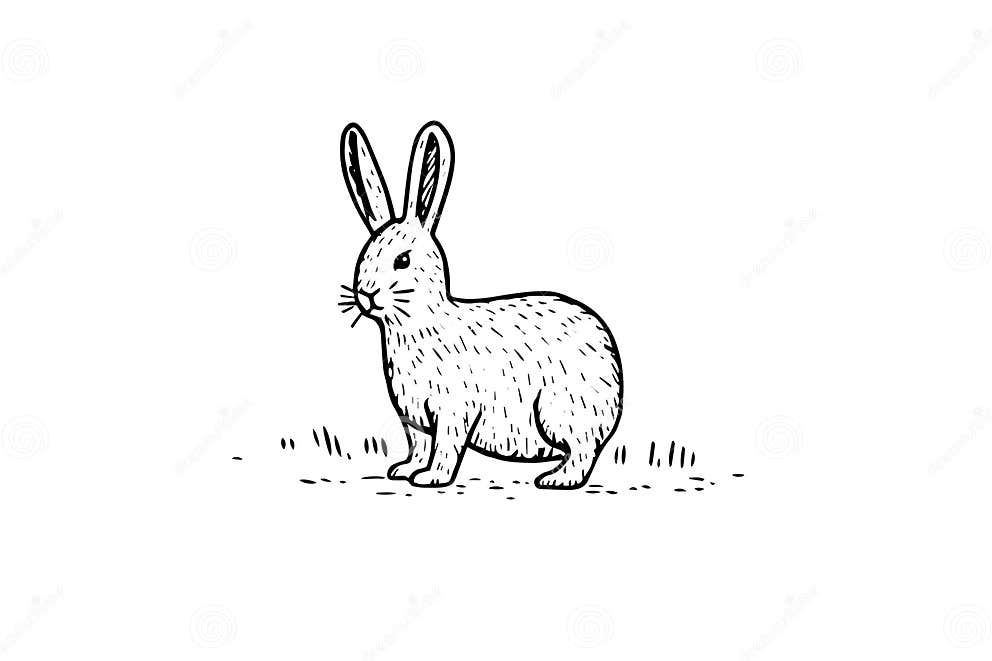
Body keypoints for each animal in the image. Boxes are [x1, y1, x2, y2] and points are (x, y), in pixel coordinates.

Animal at [338, 121, 622, 489]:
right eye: (364, 256)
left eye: (402, 260)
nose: (366, 294)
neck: (420, 323)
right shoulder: (414, 419)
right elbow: (419, 446)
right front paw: (403, 471)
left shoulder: (453, 409)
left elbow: (446, 446)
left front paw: (431, 478)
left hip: (560, 409)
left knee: (582, 451)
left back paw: (555, 479)